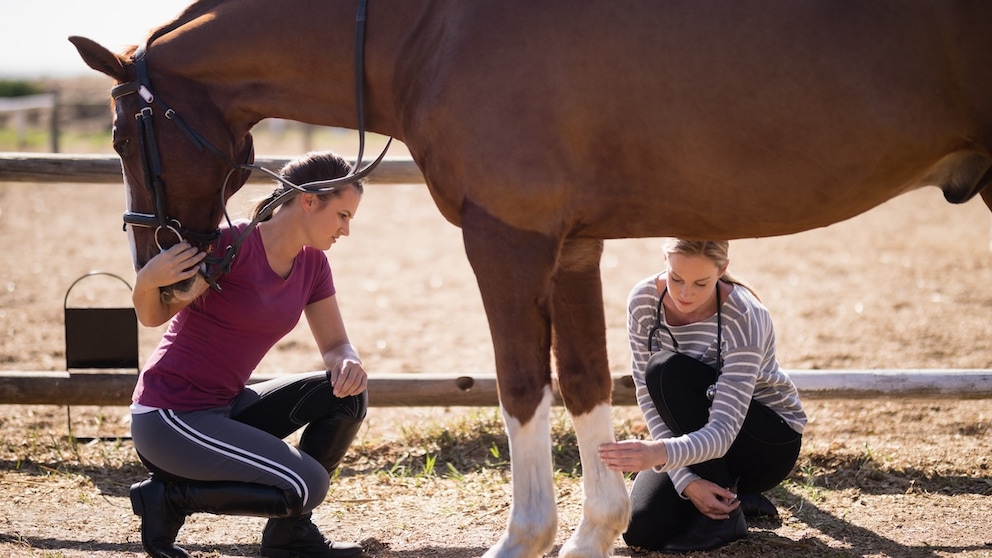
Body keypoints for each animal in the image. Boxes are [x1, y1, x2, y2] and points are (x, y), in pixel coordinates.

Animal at [71, 1, 992, 556]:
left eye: (119, 136)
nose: (165, 279)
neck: (430, 32)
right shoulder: (574, 247)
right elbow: (583, 380)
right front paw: (594, 532)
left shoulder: (504, 239)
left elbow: (519, 384)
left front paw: (525, 537)